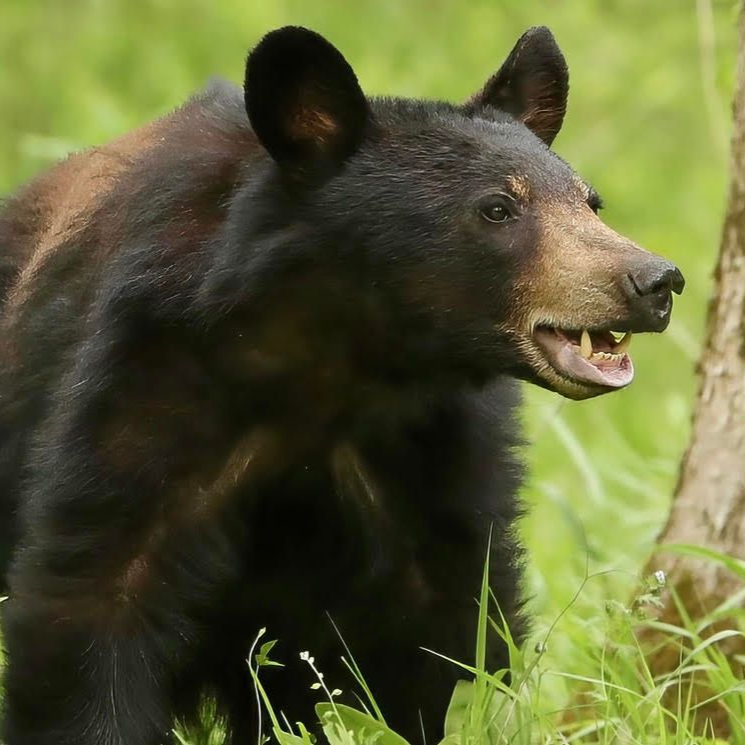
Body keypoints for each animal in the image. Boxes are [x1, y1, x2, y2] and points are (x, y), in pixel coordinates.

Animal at [0, 25, 684, 745]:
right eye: (498, 208)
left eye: (590, 202)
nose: (654, 280)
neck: (342, 363)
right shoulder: (146, 377)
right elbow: (95, 594)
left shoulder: (437, 449)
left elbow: (450, 630)